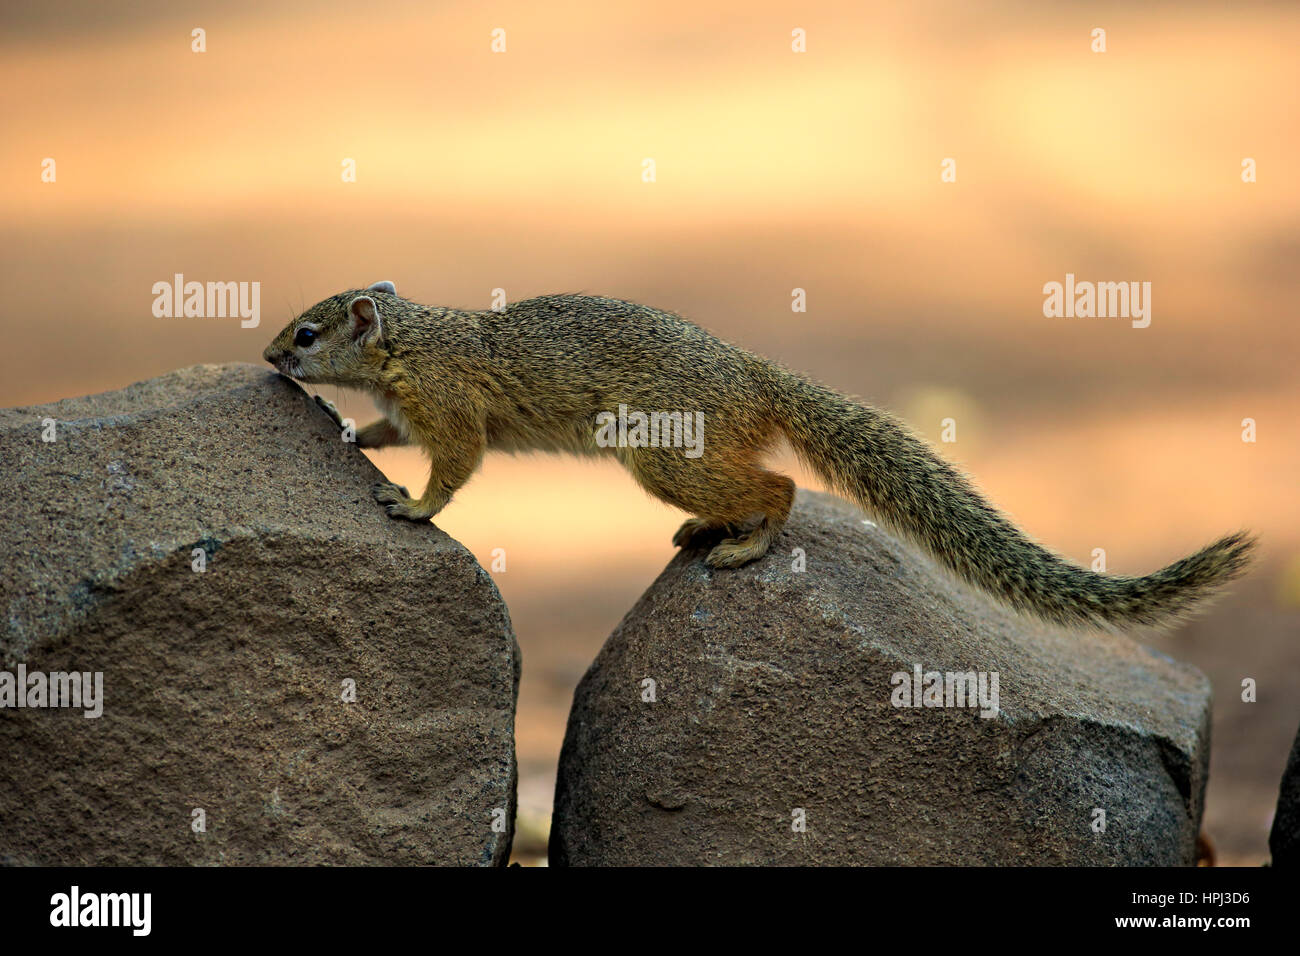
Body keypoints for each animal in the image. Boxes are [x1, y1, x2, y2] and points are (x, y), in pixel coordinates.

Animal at [263, 280, 1255, 630]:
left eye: (308, 331)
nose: (272, 356)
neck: (413, 343)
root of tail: (754, 374)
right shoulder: (414, 410)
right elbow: (392, 434)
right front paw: (355, 431)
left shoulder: (455, 412)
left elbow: (453, 470)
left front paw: (411, 506)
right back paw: (710, 530)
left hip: (665, 456)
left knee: (779, 485)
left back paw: (744, 542)